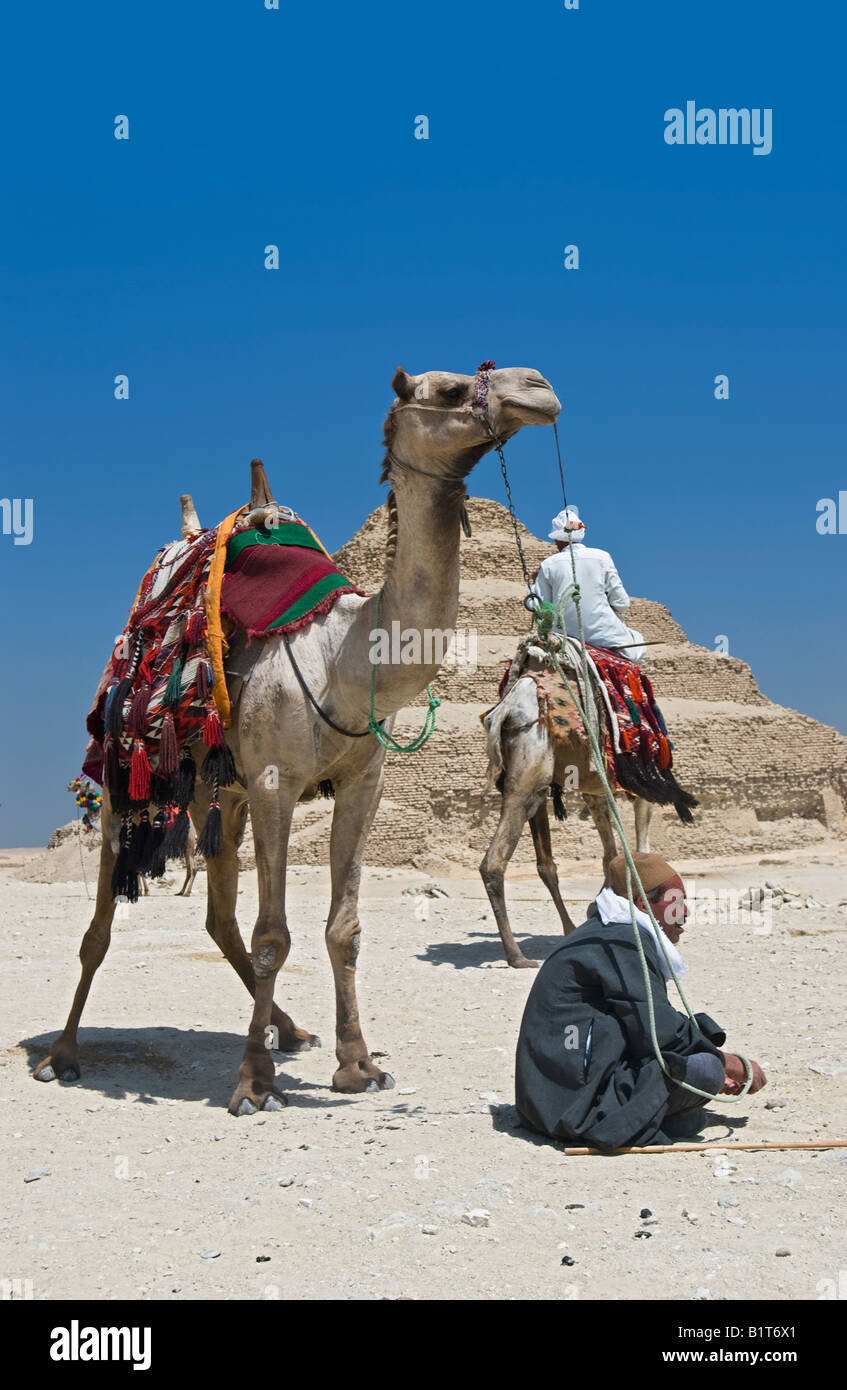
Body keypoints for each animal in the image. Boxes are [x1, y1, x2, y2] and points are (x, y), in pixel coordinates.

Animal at [35, 363, 561, 1114]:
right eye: (451, 390)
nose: (538, 387)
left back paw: (292, 1031)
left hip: (220, 794)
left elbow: (342, 929)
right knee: (101, 928)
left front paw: (357, 1064)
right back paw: (63, 1054)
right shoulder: (276, 782)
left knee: (218, 917)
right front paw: (253, 1083)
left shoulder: (360, 783)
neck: (348, 657)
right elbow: (273, 935)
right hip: (123, 782)